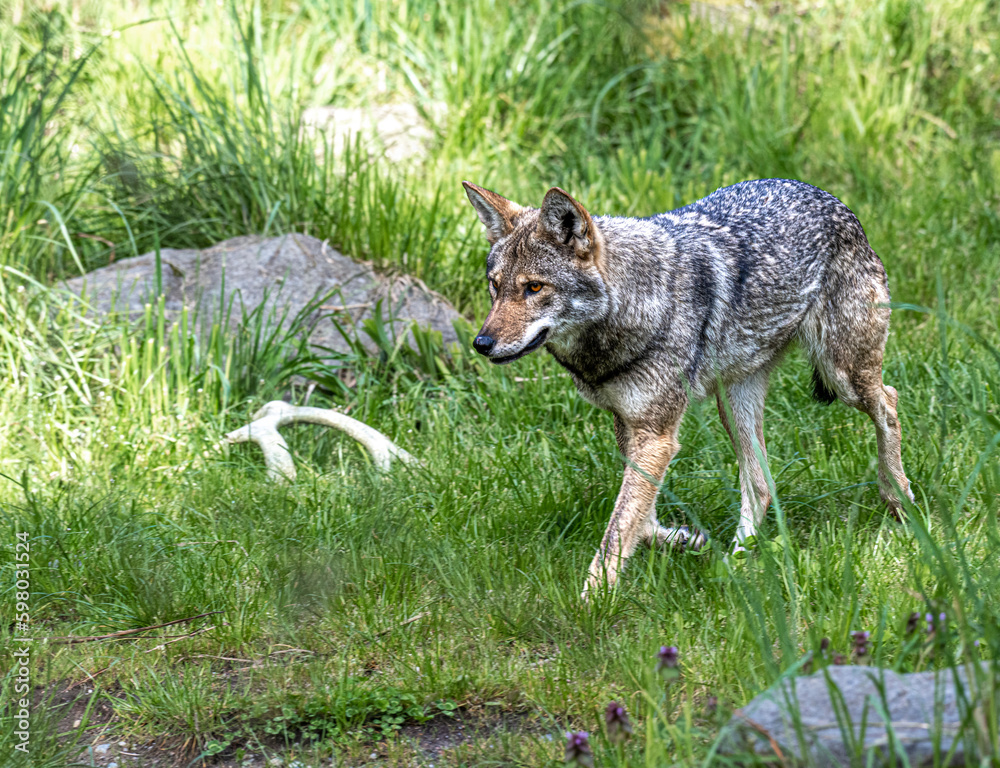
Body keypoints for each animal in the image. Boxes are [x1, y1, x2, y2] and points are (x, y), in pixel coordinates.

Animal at [462, 178, 915, 599]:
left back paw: (899, 498)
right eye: (495, 286)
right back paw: (737, 559)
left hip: (842, 376)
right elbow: (640, 519)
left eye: (534, 288)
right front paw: (684, 540)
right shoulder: (630, 426)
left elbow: (617, 529)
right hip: (734, 402)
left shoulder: (657, 436)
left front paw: (592, 602)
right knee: (761, 484)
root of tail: (830, 199)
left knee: (890, 401)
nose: (482, 344)